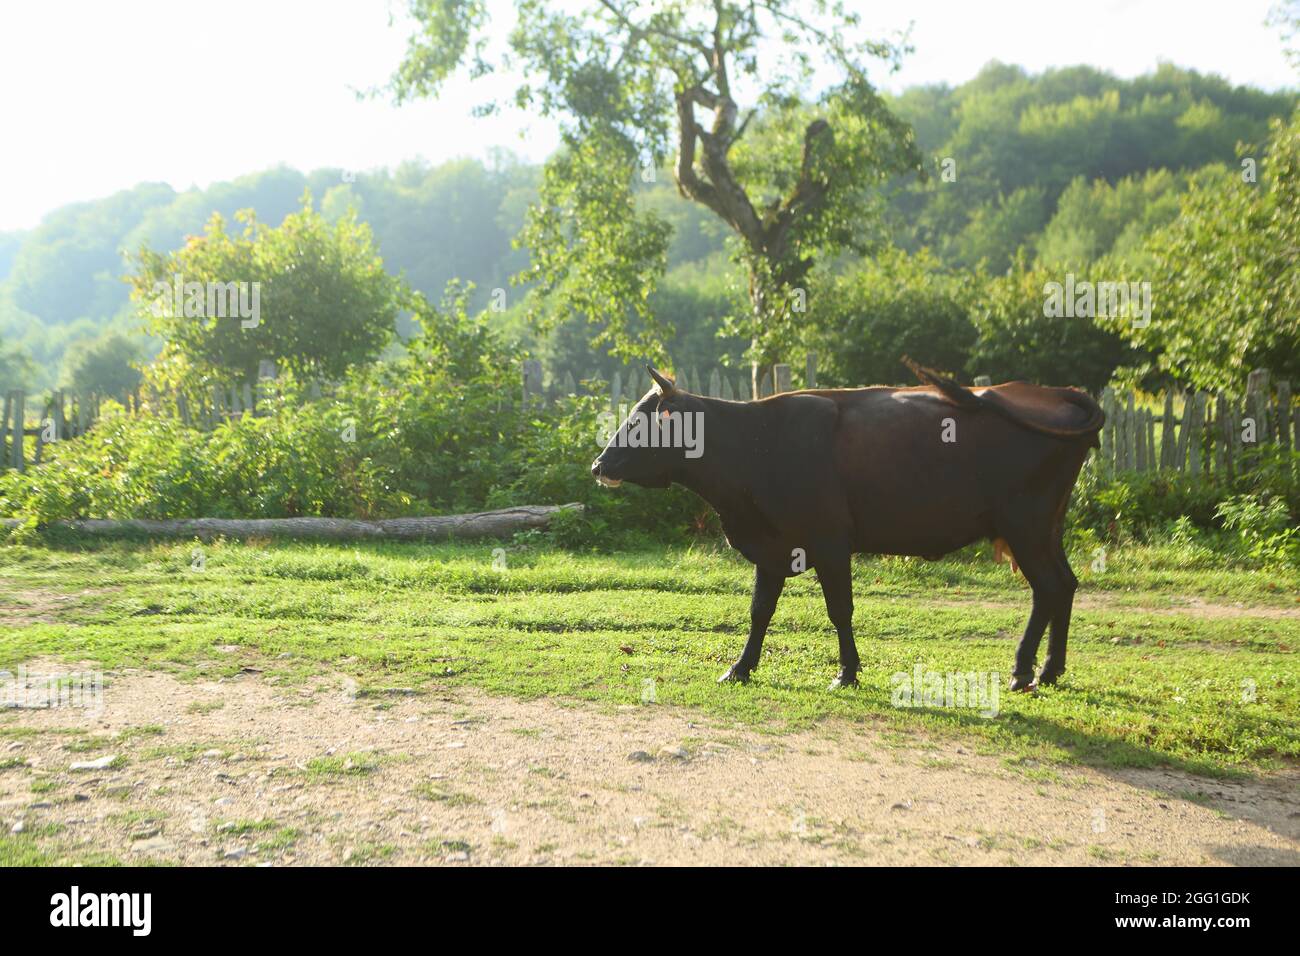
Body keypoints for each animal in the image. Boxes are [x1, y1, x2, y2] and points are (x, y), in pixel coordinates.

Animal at [590, 361, 1104, 692]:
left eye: (640, 422)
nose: (598, 465)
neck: (756, 442)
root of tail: (1055, 392)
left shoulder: (830, 542)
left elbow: (840, 610)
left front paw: (847, 672)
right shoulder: (772, 547)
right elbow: (759, 612)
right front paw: (740, 668)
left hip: (1025, 525)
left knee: (1049, 588)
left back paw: (1024, 671)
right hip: (1045, 528)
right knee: (1065, 585)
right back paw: (1050, 670)